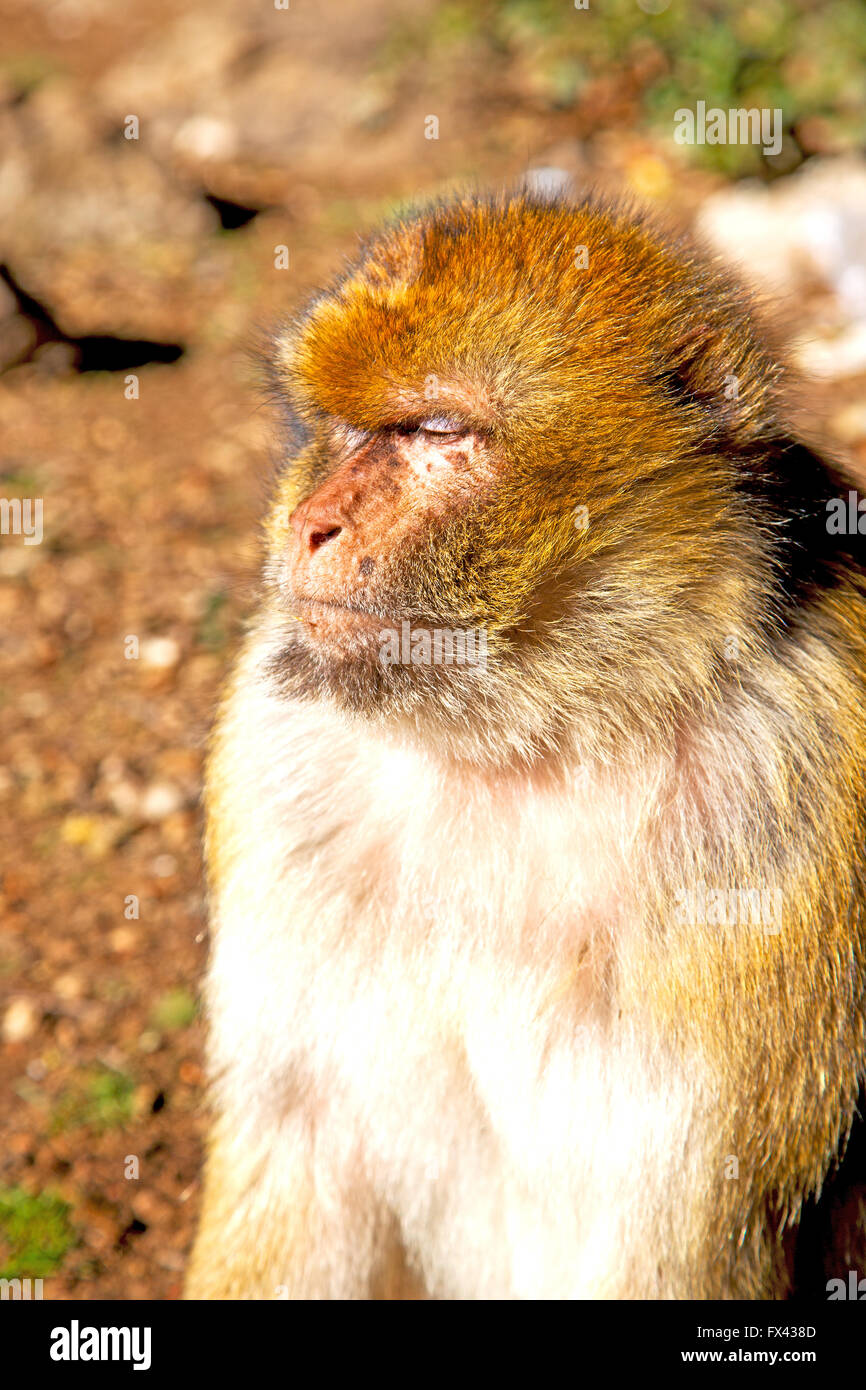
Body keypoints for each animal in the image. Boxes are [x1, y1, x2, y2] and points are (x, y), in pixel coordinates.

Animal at [185, 189, 866, 1301]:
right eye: (338, 430)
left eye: (436, 432)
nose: (311, 525)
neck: (532, 740)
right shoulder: (277, 756)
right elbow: (297, 1152)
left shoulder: (797, 795)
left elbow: (675, 1240)